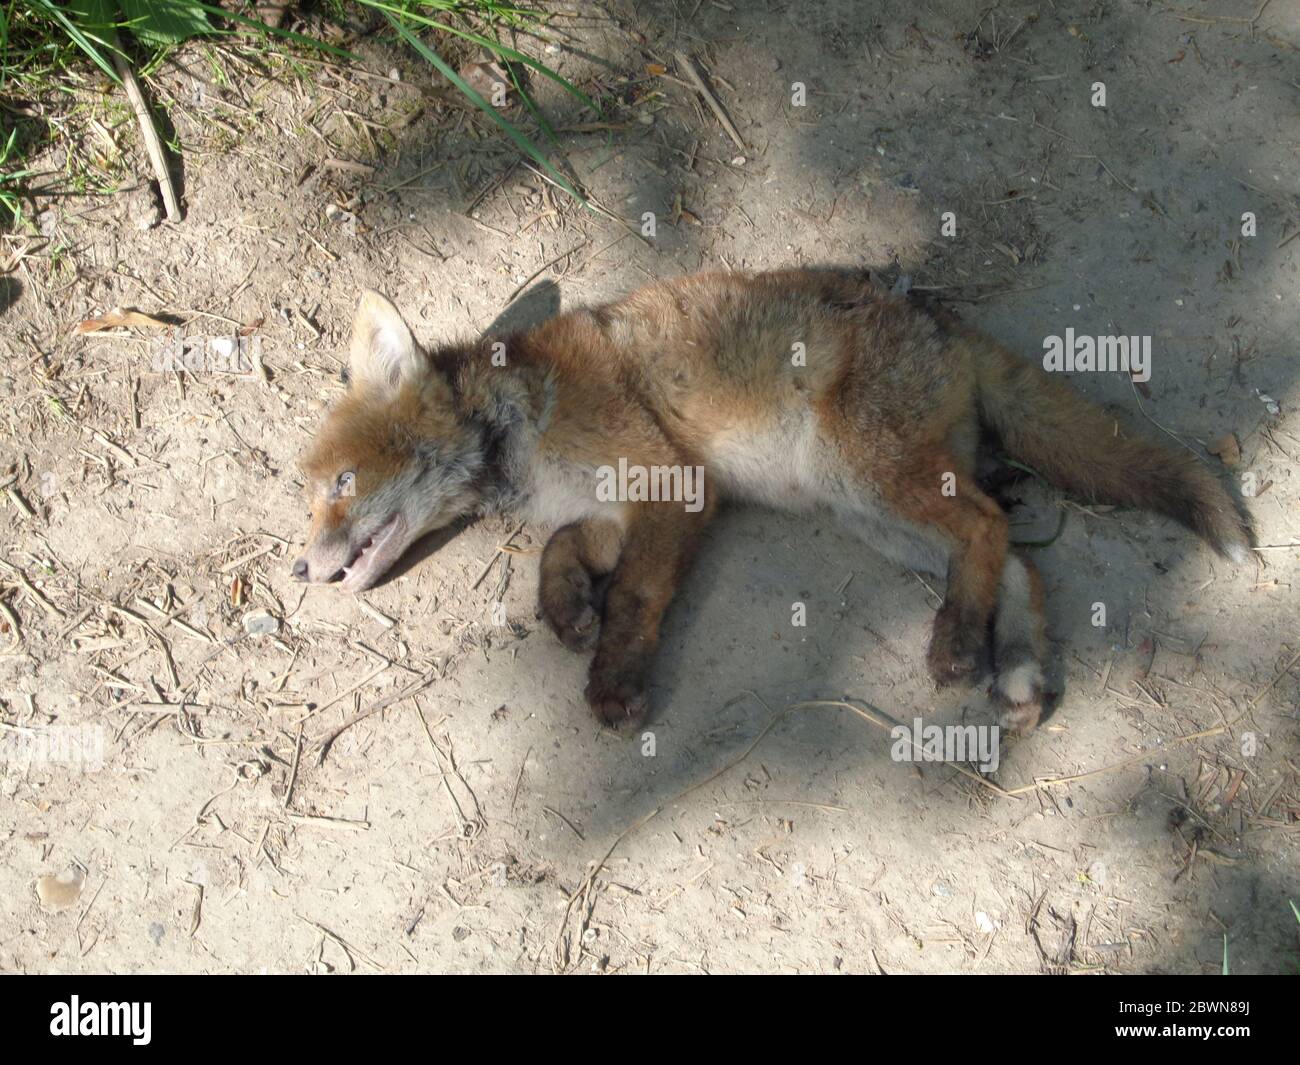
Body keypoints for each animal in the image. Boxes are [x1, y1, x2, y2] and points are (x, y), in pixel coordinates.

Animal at [293, 267, 1253, 734]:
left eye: (341, 486)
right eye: (305, 499)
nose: (301, 569)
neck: (522, 418)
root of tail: (941, 324)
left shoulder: (673, 486)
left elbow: (635, 596)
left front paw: (612, 685)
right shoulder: (612, 505)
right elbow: (561, 549)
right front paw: (567, 610)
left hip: (864, 473)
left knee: (988, 526)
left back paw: (955, 648)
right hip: (872, 512)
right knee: (1014, 558)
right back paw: (1014, 670)